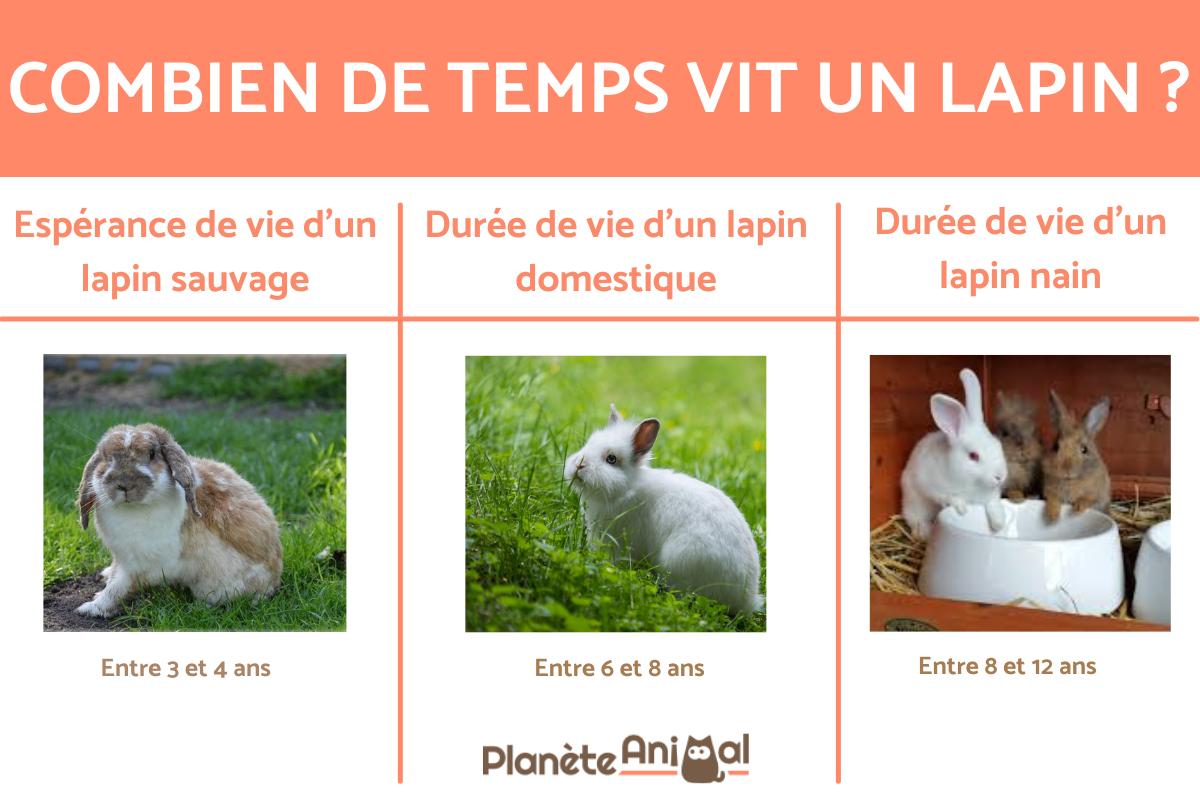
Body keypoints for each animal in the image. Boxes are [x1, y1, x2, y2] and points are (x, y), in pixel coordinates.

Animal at [75, 423, 282, 618]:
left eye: (152, 454)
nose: (124, 484)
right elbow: (114, 578)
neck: (133, 509)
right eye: (105, 456)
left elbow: (116, 589)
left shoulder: (140, 566)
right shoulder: (122, 557)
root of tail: (274, 578)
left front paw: (90, 608)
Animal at [900, 368, 1007, 541]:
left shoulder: (991, 495)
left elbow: (993, 503)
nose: (1000, 476)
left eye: (998, 445)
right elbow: (945, 496)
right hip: (913, 501)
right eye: (973, 456)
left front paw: (999, 523)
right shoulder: (929, 483)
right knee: (914, 517)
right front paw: (961, 507)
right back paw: (924, 531)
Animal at [1042, 391, 1111, 523]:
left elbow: (1087, 499)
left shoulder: (1096, 495)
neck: (1071, 481)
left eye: (1084, 449)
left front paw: (1078, 507)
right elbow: (1053, 499)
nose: (1066, 470)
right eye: (1056, 446)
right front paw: (1053, 515)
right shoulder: (1049, 491)